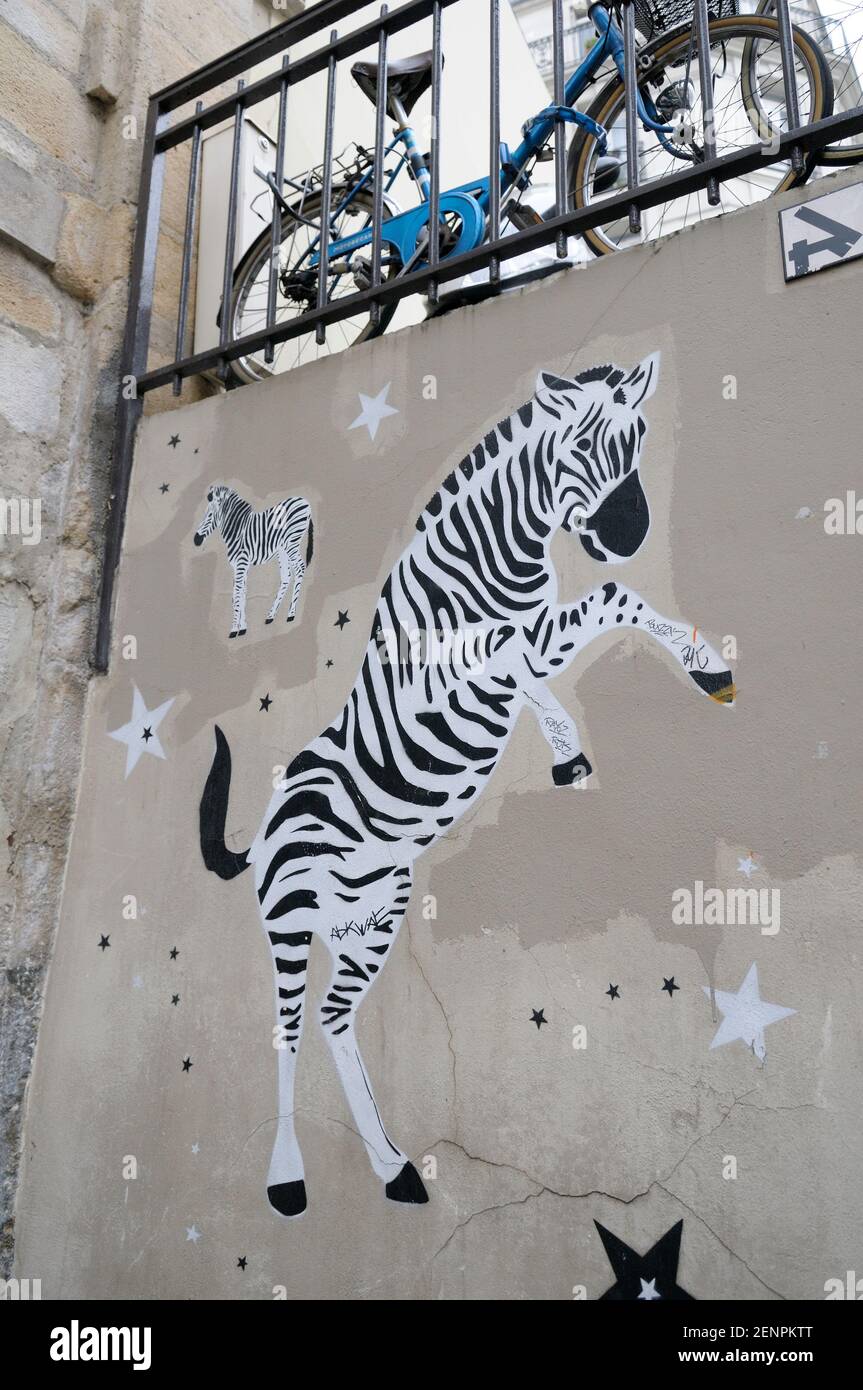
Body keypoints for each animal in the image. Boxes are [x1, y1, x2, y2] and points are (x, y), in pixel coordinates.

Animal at [193, 485, 314, 638]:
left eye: (209, 515)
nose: (196, 540)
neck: (237, 531)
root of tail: (304, 501)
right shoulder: (241, 566)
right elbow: (243, 594)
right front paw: (243, 628)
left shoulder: (241, 563)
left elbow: (236, 595)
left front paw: (234, 629)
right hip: (283, 549)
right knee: (286, 576)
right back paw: (271, 616)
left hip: (292, 543)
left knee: (300, 568)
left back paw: (291, 614)